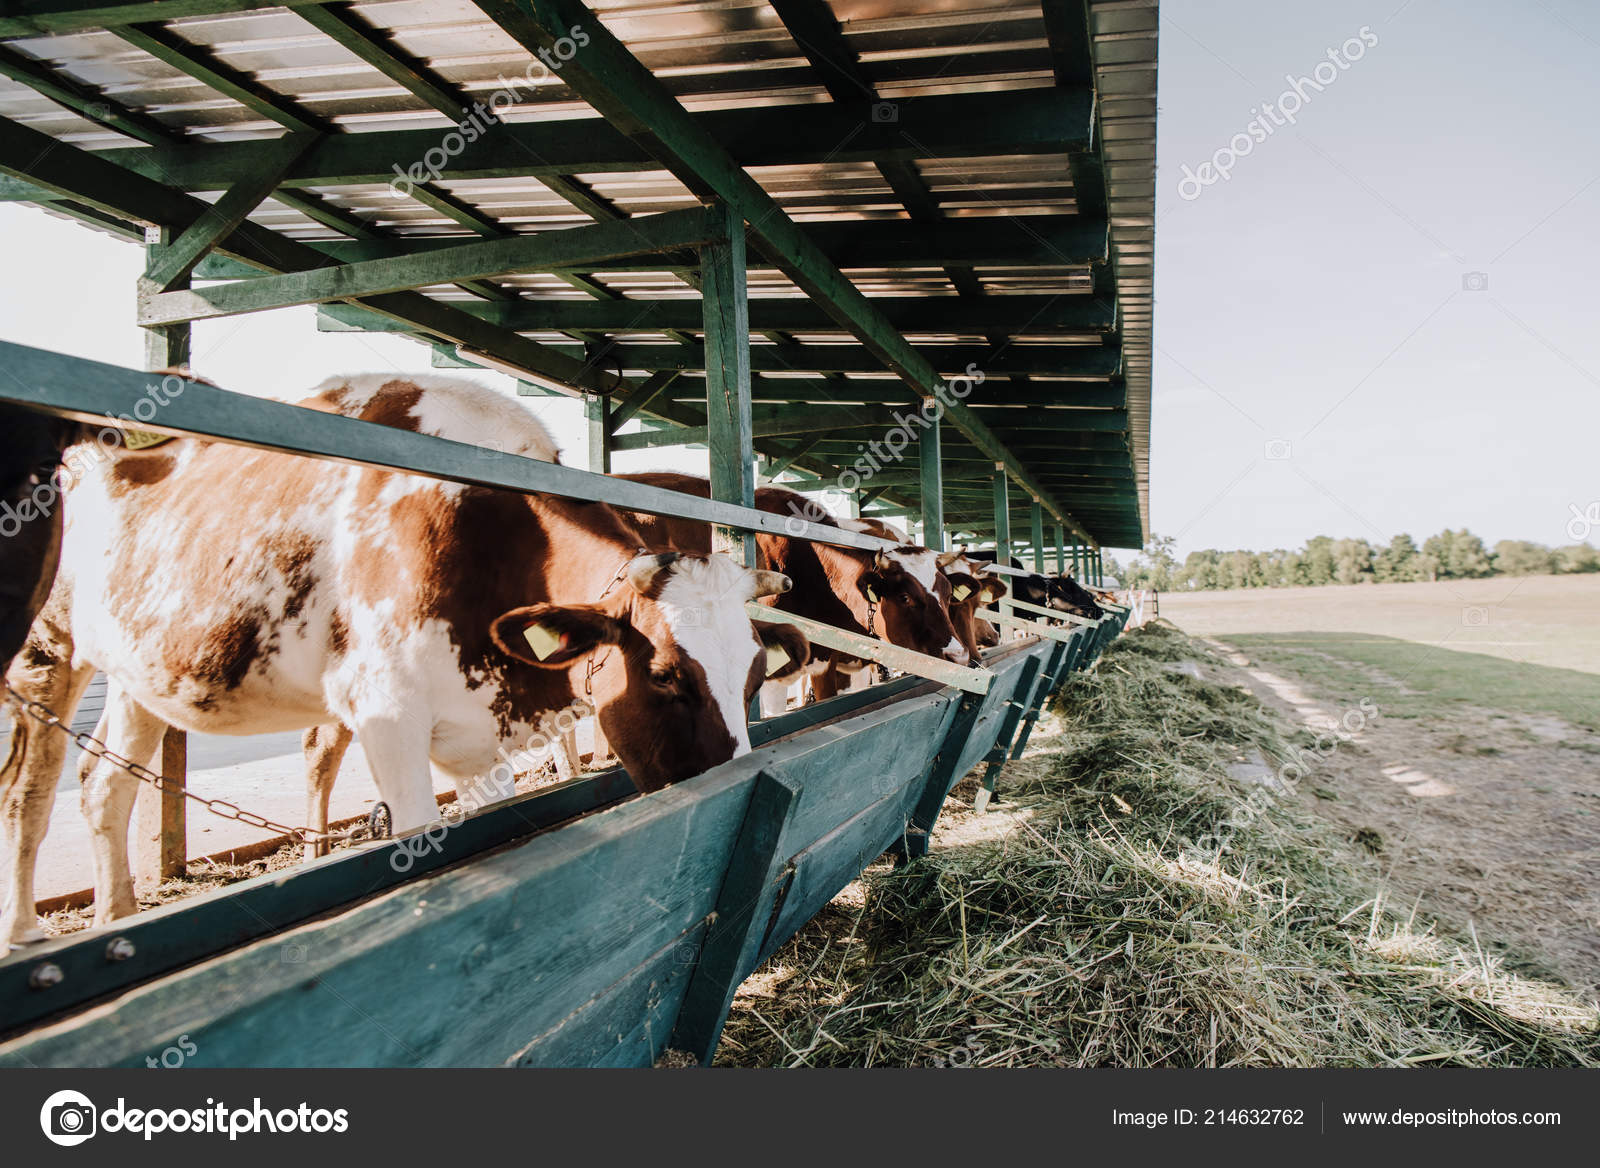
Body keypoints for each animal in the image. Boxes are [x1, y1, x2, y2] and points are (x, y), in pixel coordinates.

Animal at [1, 375, 799, 944]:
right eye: (665, 677)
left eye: (754, 678)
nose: (732, 777)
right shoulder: (387, 717)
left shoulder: (481, 730)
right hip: (47, 649)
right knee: (29, 791)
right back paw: (26, 931)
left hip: (140, 669)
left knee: (103, 786)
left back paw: (116, 919)